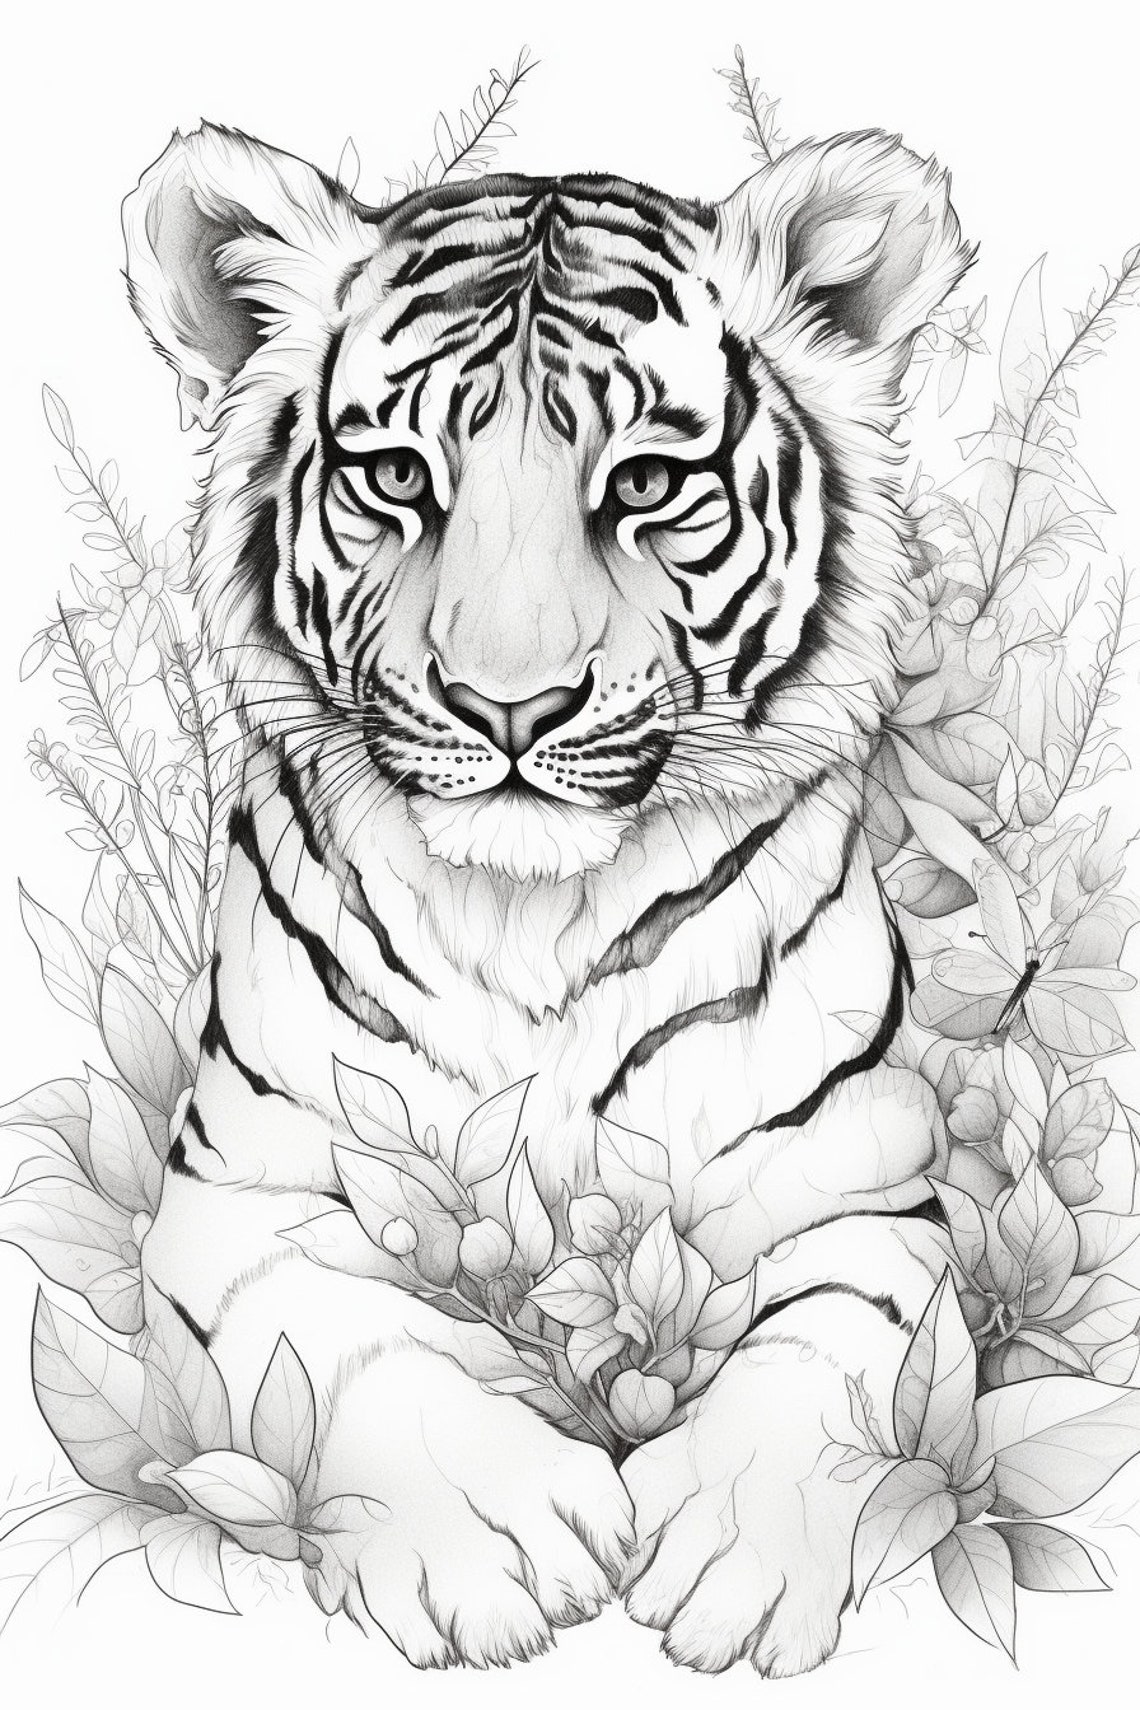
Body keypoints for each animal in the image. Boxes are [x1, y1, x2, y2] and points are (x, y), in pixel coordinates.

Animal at [123, 120, 972, 1675]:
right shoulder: (235, 1195)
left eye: (642, 484)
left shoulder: (868, 1199)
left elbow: (828, 1349)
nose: (507, 705)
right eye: (399, 477)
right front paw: (495, 1543)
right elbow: (343, 1332)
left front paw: (740, 1558)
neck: (536, 921)